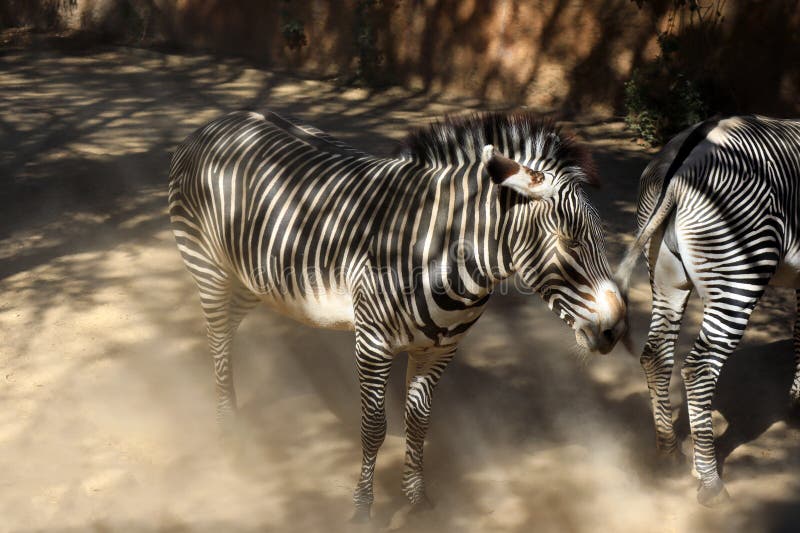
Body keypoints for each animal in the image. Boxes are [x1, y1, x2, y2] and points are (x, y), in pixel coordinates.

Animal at [168, 109, 627, 520]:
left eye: (600, 237)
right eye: (569, 241)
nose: (616, 330)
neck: (439, 250)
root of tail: (217, 122)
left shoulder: (440, 350)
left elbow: (419, 424)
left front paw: (416, 499)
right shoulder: (372, 343)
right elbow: (374, 428)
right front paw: (362, 508)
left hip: (253, 278)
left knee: (228, 329)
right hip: (209, 265)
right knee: (217, 337)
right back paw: (228, 427)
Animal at [617, 115, 800, 506]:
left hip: (666, 274)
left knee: (655, 355)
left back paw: (669, 455)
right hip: (739, 271)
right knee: (699, 367)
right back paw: (710, 482)